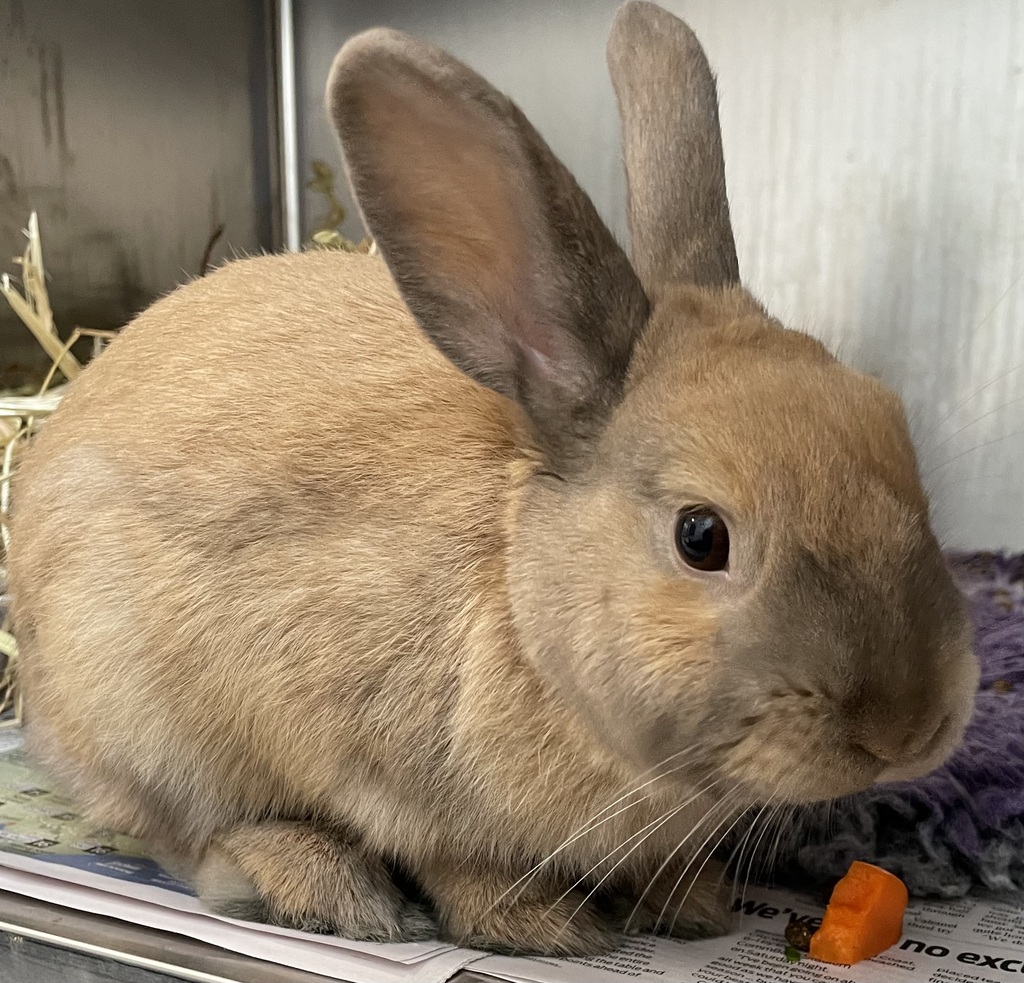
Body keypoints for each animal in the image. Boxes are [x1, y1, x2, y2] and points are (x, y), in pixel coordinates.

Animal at [6, 0, 979, 958]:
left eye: (896, 433)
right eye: (702, 536)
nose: (907, 728)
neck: (521, 605)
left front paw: (692, 905)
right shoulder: (391, 774)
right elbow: (456, 859)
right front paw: (539, 924)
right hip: (139, 715)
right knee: (186, 825)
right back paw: (321, 885)